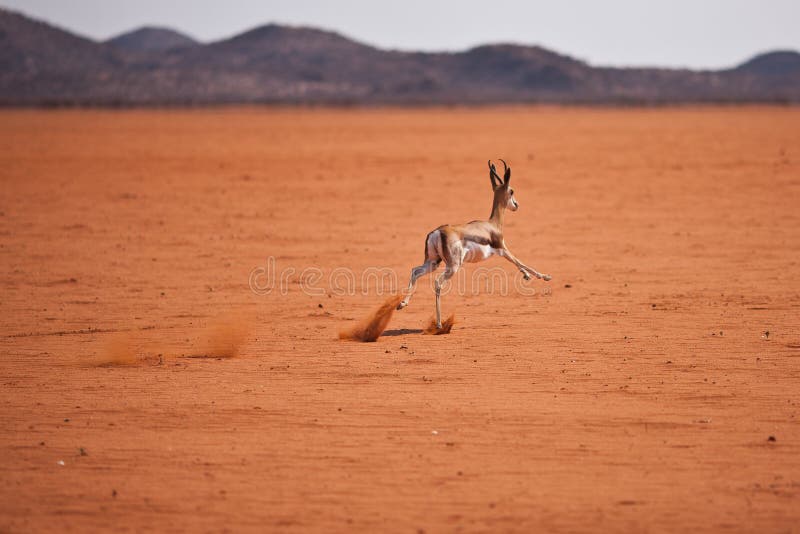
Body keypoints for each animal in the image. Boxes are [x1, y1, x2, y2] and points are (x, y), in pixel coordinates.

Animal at [397, 159, 551, 328]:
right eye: (511, 191)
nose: (516, 205)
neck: (493, 224)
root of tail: (437, 232)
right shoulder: (502, 248)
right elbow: (519, 261)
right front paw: (544, 276)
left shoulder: (500, 251)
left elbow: (517, 263)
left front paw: (527, 276)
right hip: (453, 266)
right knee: (438, 283)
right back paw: (438, 323)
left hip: (433, 262)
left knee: (415, 271)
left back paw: (402, 304)